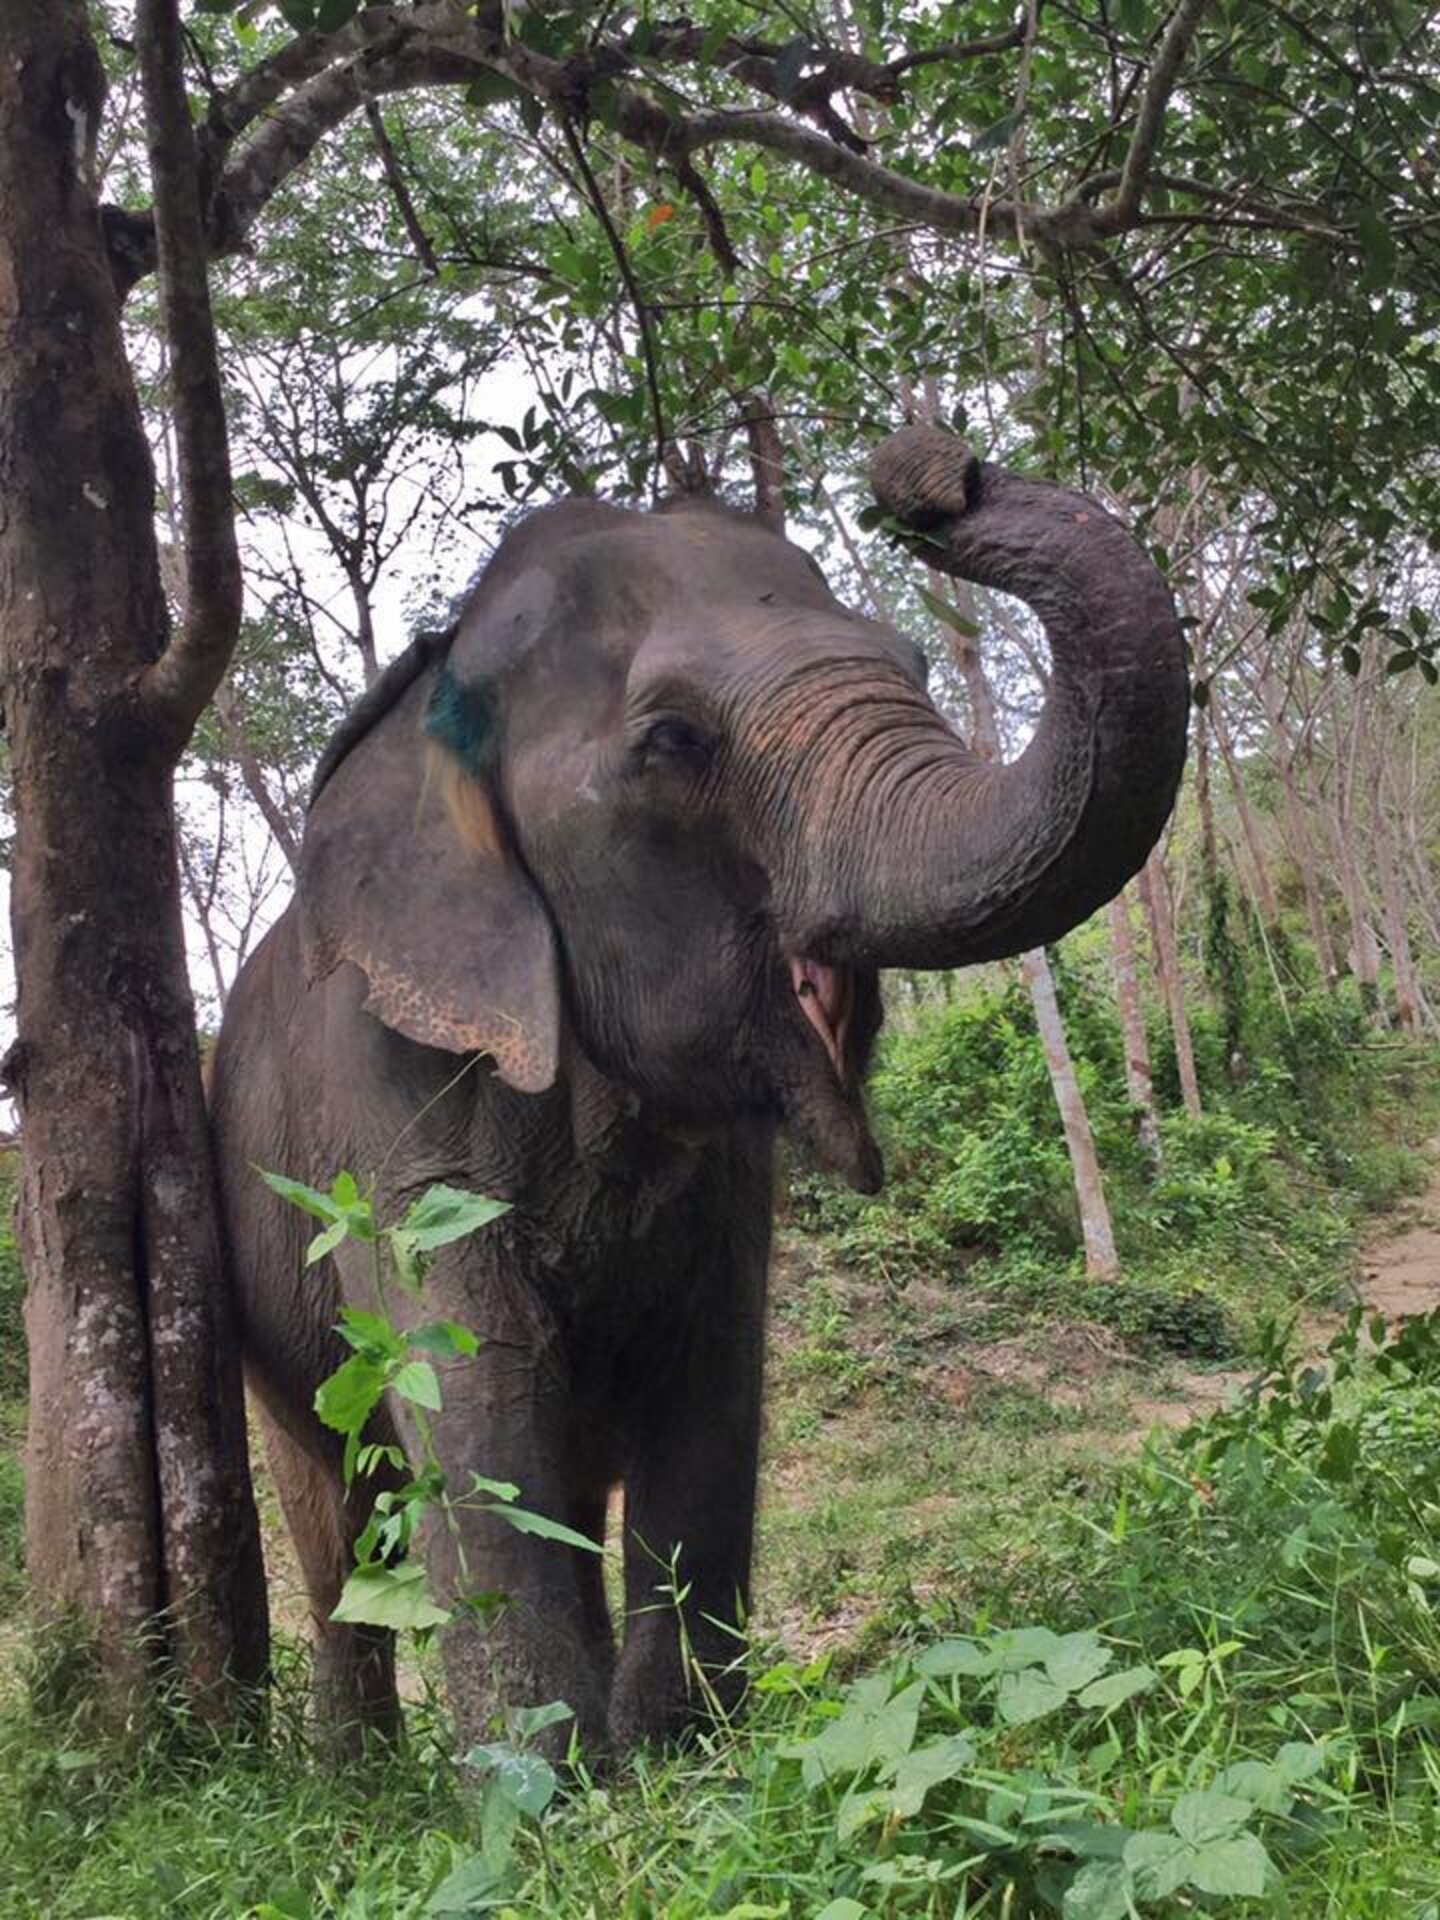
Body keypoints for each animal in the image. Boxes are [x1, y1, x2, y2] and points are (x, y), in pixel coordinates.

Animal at [210, 423, 1188, 1755]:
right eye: (676, 740)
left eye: (913, 662)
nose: (933, 473)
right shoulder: (385, 1100)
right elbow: (471, 1380)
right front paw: (544, 1779)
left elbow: (714, 1376)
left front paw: (677, 1752)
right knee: (342, 1508)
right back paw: (361, 1770)